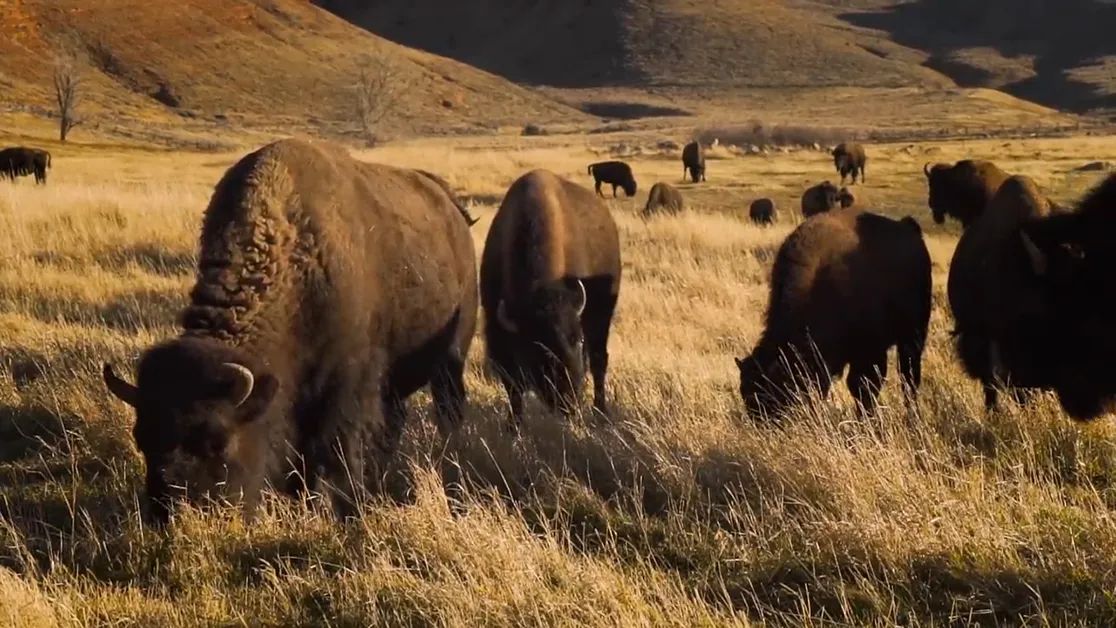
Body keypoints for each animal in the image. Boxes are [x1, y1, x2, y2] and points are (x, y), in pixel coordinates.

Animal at [102, 138, 478, 525]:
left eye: (219, 441)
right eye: (141, 438)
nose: (173, 516)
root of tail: (453, 210)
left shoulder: (345, 390)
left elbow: (335, 451)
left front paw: (337, 506)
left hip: (451, 358)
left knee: (447, 409)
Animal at [480, 169, 621, 431]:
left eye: (578, 340)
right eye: (540, 350)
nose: (570, 399)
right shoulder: (496, 330)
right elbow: (513, 385)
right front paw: (514, 427)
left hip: (602, 312)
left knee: (599, 360)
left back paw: (601, 411)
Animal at [736, 208, 931, 418]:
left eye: (773, 393)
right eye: (744, 394)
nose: (760, 421)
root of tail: (909, 228)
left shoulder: (869, 351)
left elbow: (864, 387)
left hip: (913, 336)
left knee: (909, 377)